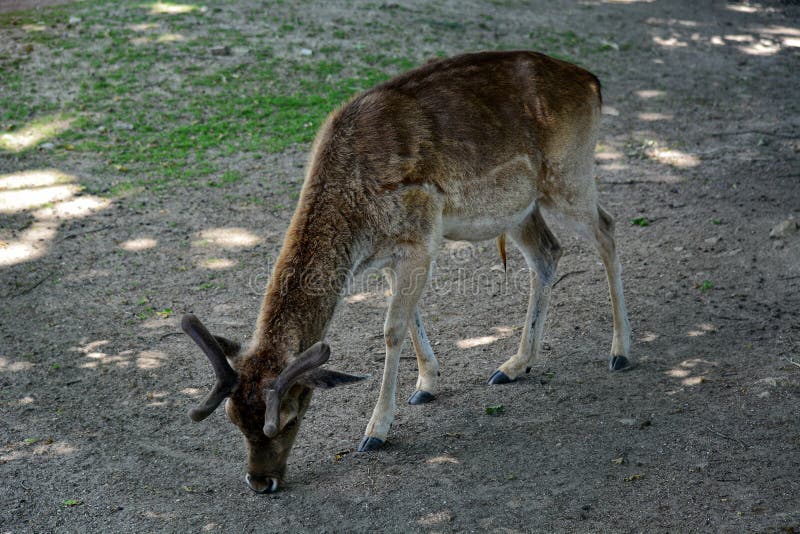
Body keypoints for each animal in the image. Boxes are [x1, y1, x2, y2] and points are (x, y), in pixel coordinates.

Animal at [181, 50, 632, 494]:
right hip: (519, 207)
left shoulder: (419, 239)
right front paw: (427, 384)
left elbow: (392, 329)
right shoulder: (388, 254)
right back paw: (515, 364)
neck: (356, 218)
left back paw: (620, 351)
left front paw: (376, 430)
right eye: (234, 419)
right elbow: (410, 315)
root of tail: (592, 81)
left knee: (607, 229)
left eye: (290, 417)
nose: (261, 481)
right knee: (548, 252)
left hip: (568, 175)